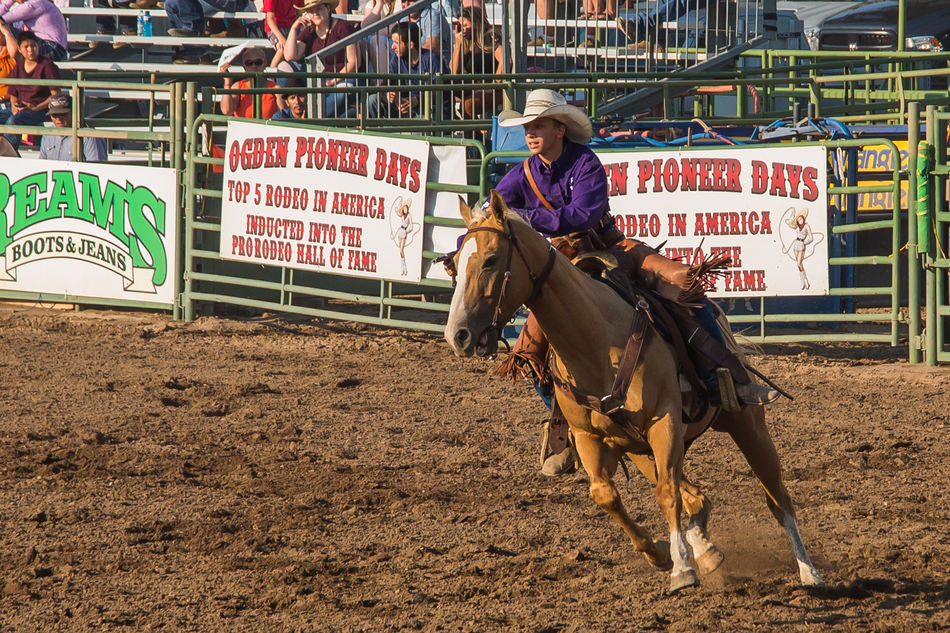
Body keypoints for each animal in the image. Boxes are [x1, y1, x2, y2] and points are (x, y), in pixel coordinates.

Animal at [443, 191, 823, 593]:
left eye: (490, 260)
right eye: (454, 265)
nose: (457, 335)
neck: (595, 341)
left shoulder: (664, 421)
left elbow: (667, 495)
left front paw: (681, 569)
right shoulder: (589, 437)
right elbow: (606, 495)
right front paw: (661, 553)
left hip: (745, 424)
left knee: (776, 496)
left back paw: (808, 571)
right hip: (640, 449)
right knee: (695, 498)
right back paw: (705, 548)